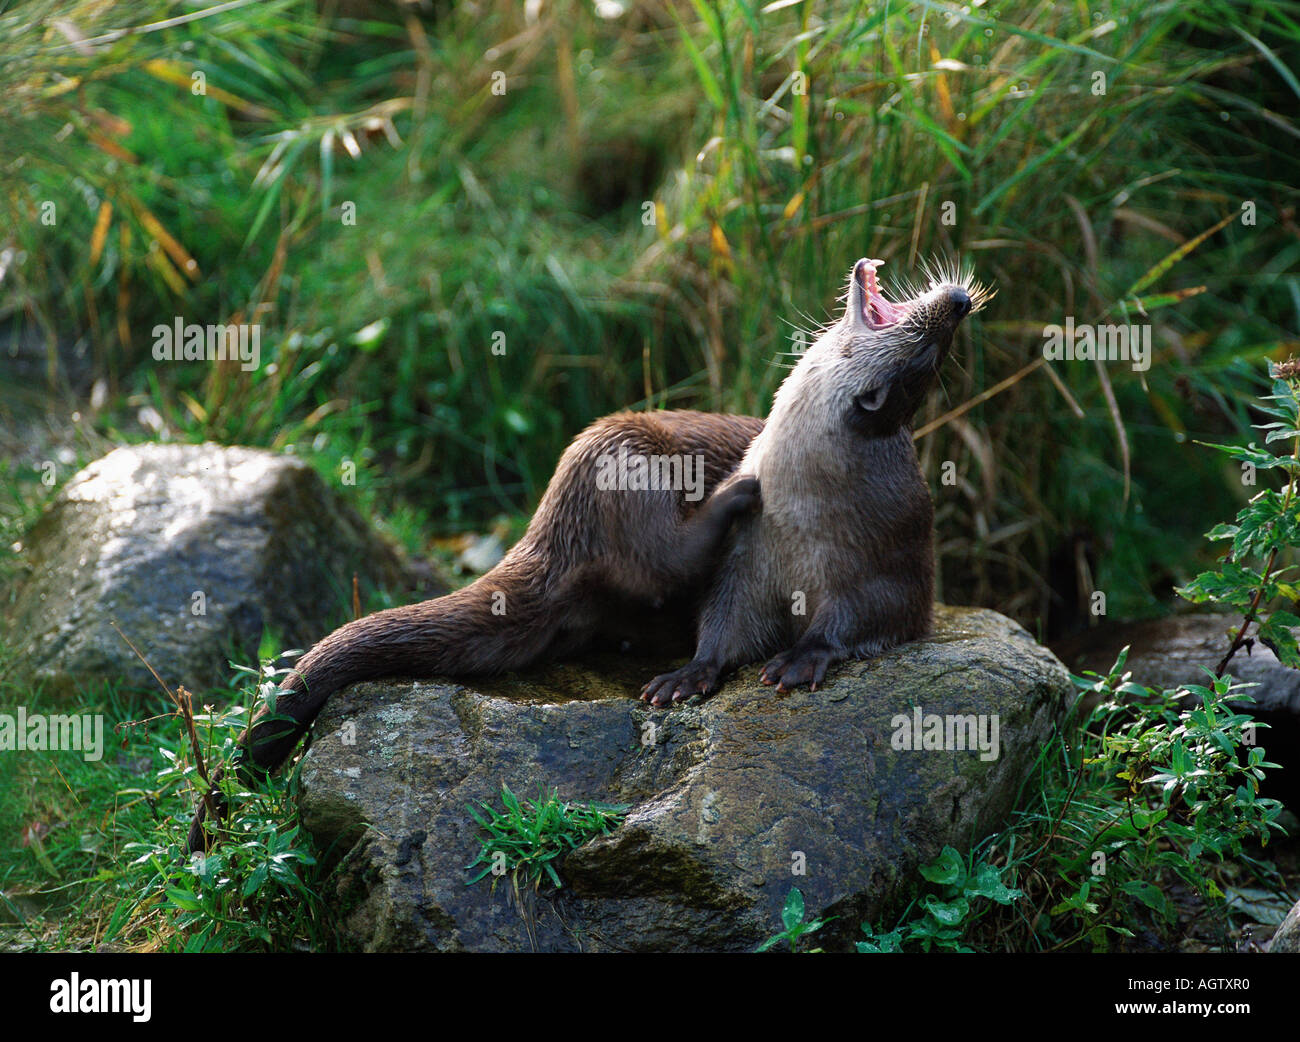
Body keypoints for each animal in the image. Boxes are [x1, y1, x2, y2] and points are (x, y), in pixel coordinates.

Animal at [187, 257, 988, 852]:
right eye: (931, 345)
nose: (958, 302)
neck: (808, 495)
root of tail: (551, 527)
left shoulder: (889, 558)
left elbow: (874, 617)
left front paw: (806, 655)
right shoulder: (751, 563)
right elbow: (725, 622)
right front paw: (692, 675)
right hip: (619, 449)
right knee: (662, 548)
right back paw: (733, 490)